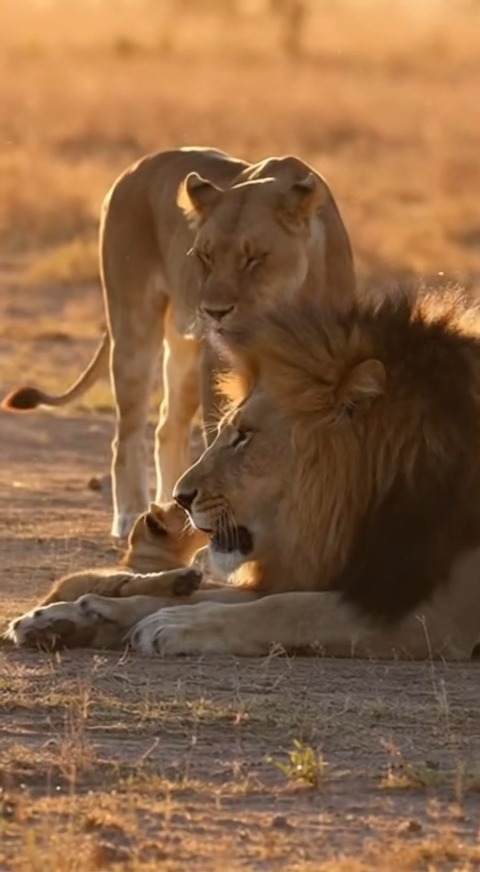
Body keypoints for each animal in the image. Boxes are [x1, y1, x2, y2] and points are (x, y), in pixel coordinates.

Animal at [2, 147, 356, 539]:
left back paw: (169, 514)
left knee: (167, 426)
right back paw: (131, 516)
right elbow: (221, 440)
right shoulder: (220, 363)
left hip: (185, 356)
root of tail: (133, 168)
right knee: (128, 431)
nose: (213, 312)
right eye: (205, 256)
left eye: (253, 258)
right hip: (135, 327)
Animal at [8, 287, 480, 659]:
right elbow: (222, 594)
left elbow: (289, 608)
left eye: (244, 436)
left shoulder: (441, 611)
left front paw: (178, 625)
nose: (180, 496)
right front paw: (64, 617)